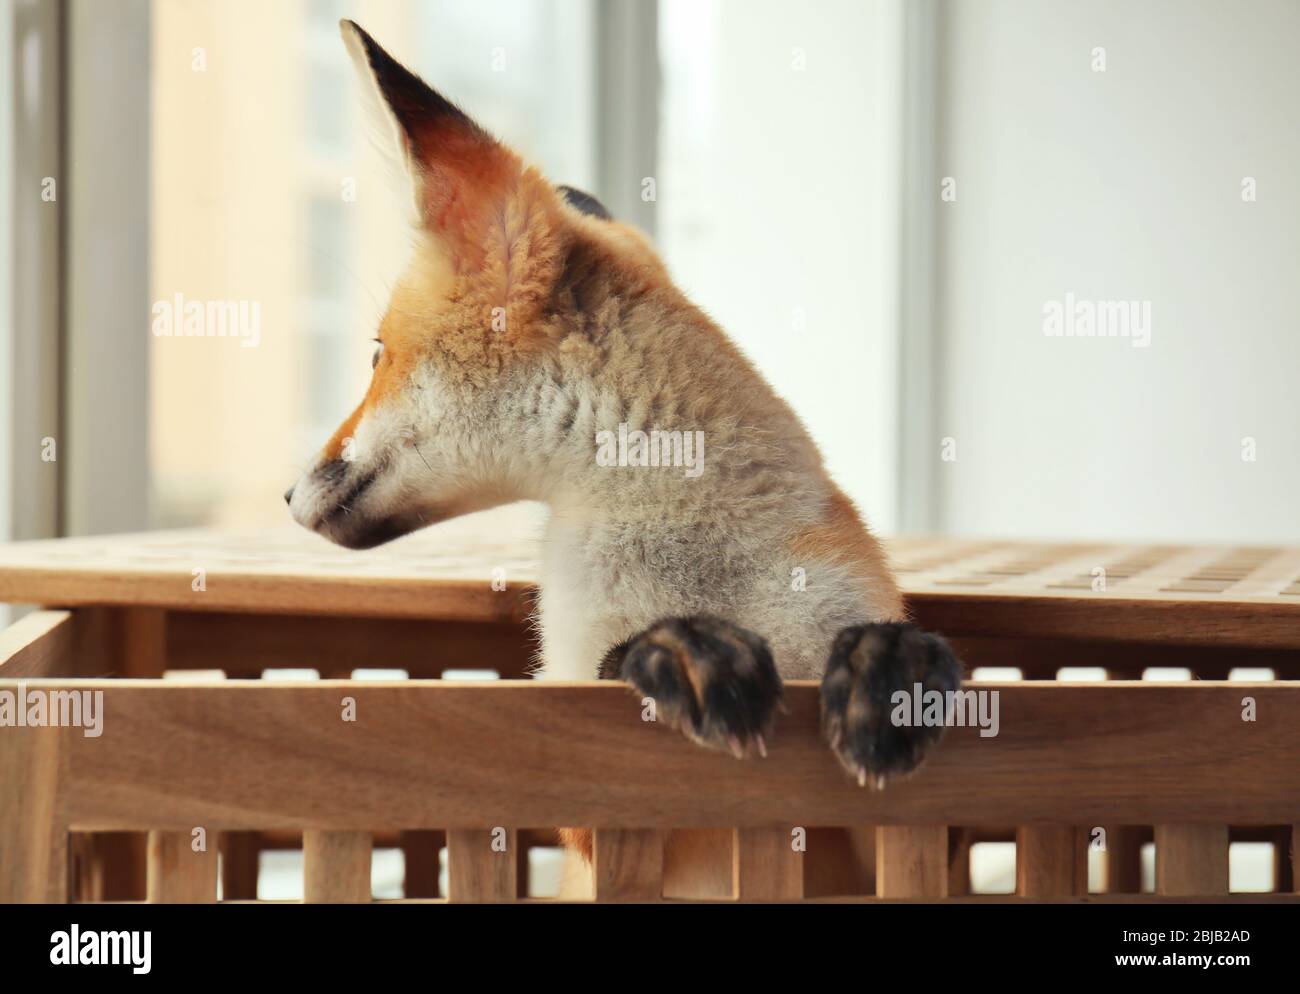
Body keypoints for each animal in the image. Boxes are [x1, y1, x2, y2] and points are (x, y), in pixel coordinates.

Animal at [287, 20, 963, 892]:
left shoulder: (892, 828)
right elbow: (613, 675)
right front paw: (675, 651)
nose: (286, 495)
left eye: (373, 356)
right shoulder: (583, 792)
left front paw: (893, 664)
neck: (687, 560)